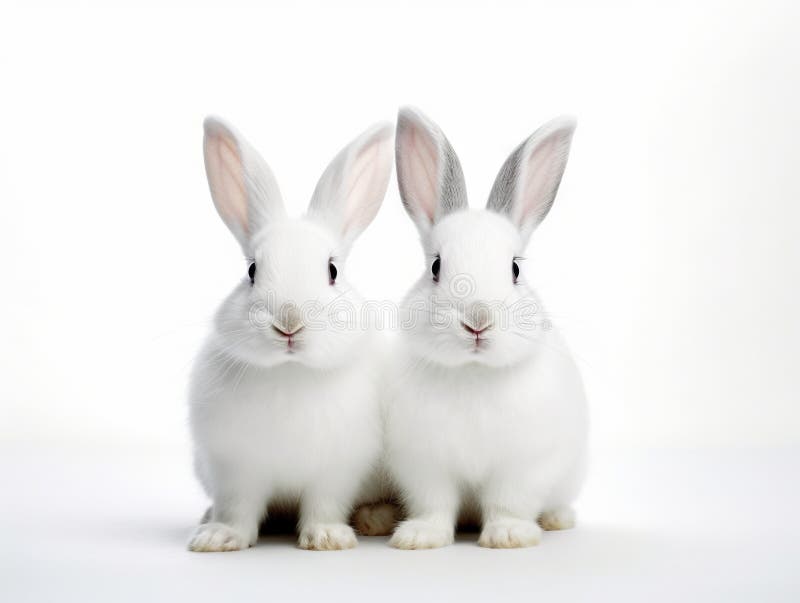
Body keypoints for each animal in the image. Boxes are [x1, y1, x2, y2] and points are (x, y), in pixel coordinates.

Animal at [187, 116, 394, 552]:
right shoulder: (235, 469)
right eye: (252, 270)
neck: (290, 371)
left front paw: (328, 538)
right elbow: (237, 509)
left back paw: (374, 519)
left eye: (332, 271)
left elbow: (324, 505)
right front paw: (219, 538)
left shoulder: (337, 469)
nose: (289, 322)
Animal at [385, 107, 588, 549]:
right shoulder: (424, 464)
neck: (473, 372)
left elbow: (508, 502)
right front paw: (421, 537)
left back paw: (557, 519)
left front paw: (509, 536)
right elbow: (435, 504)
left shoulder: (524, 465)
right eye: (436, 267)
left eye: (515, 269)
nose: (477, 320)